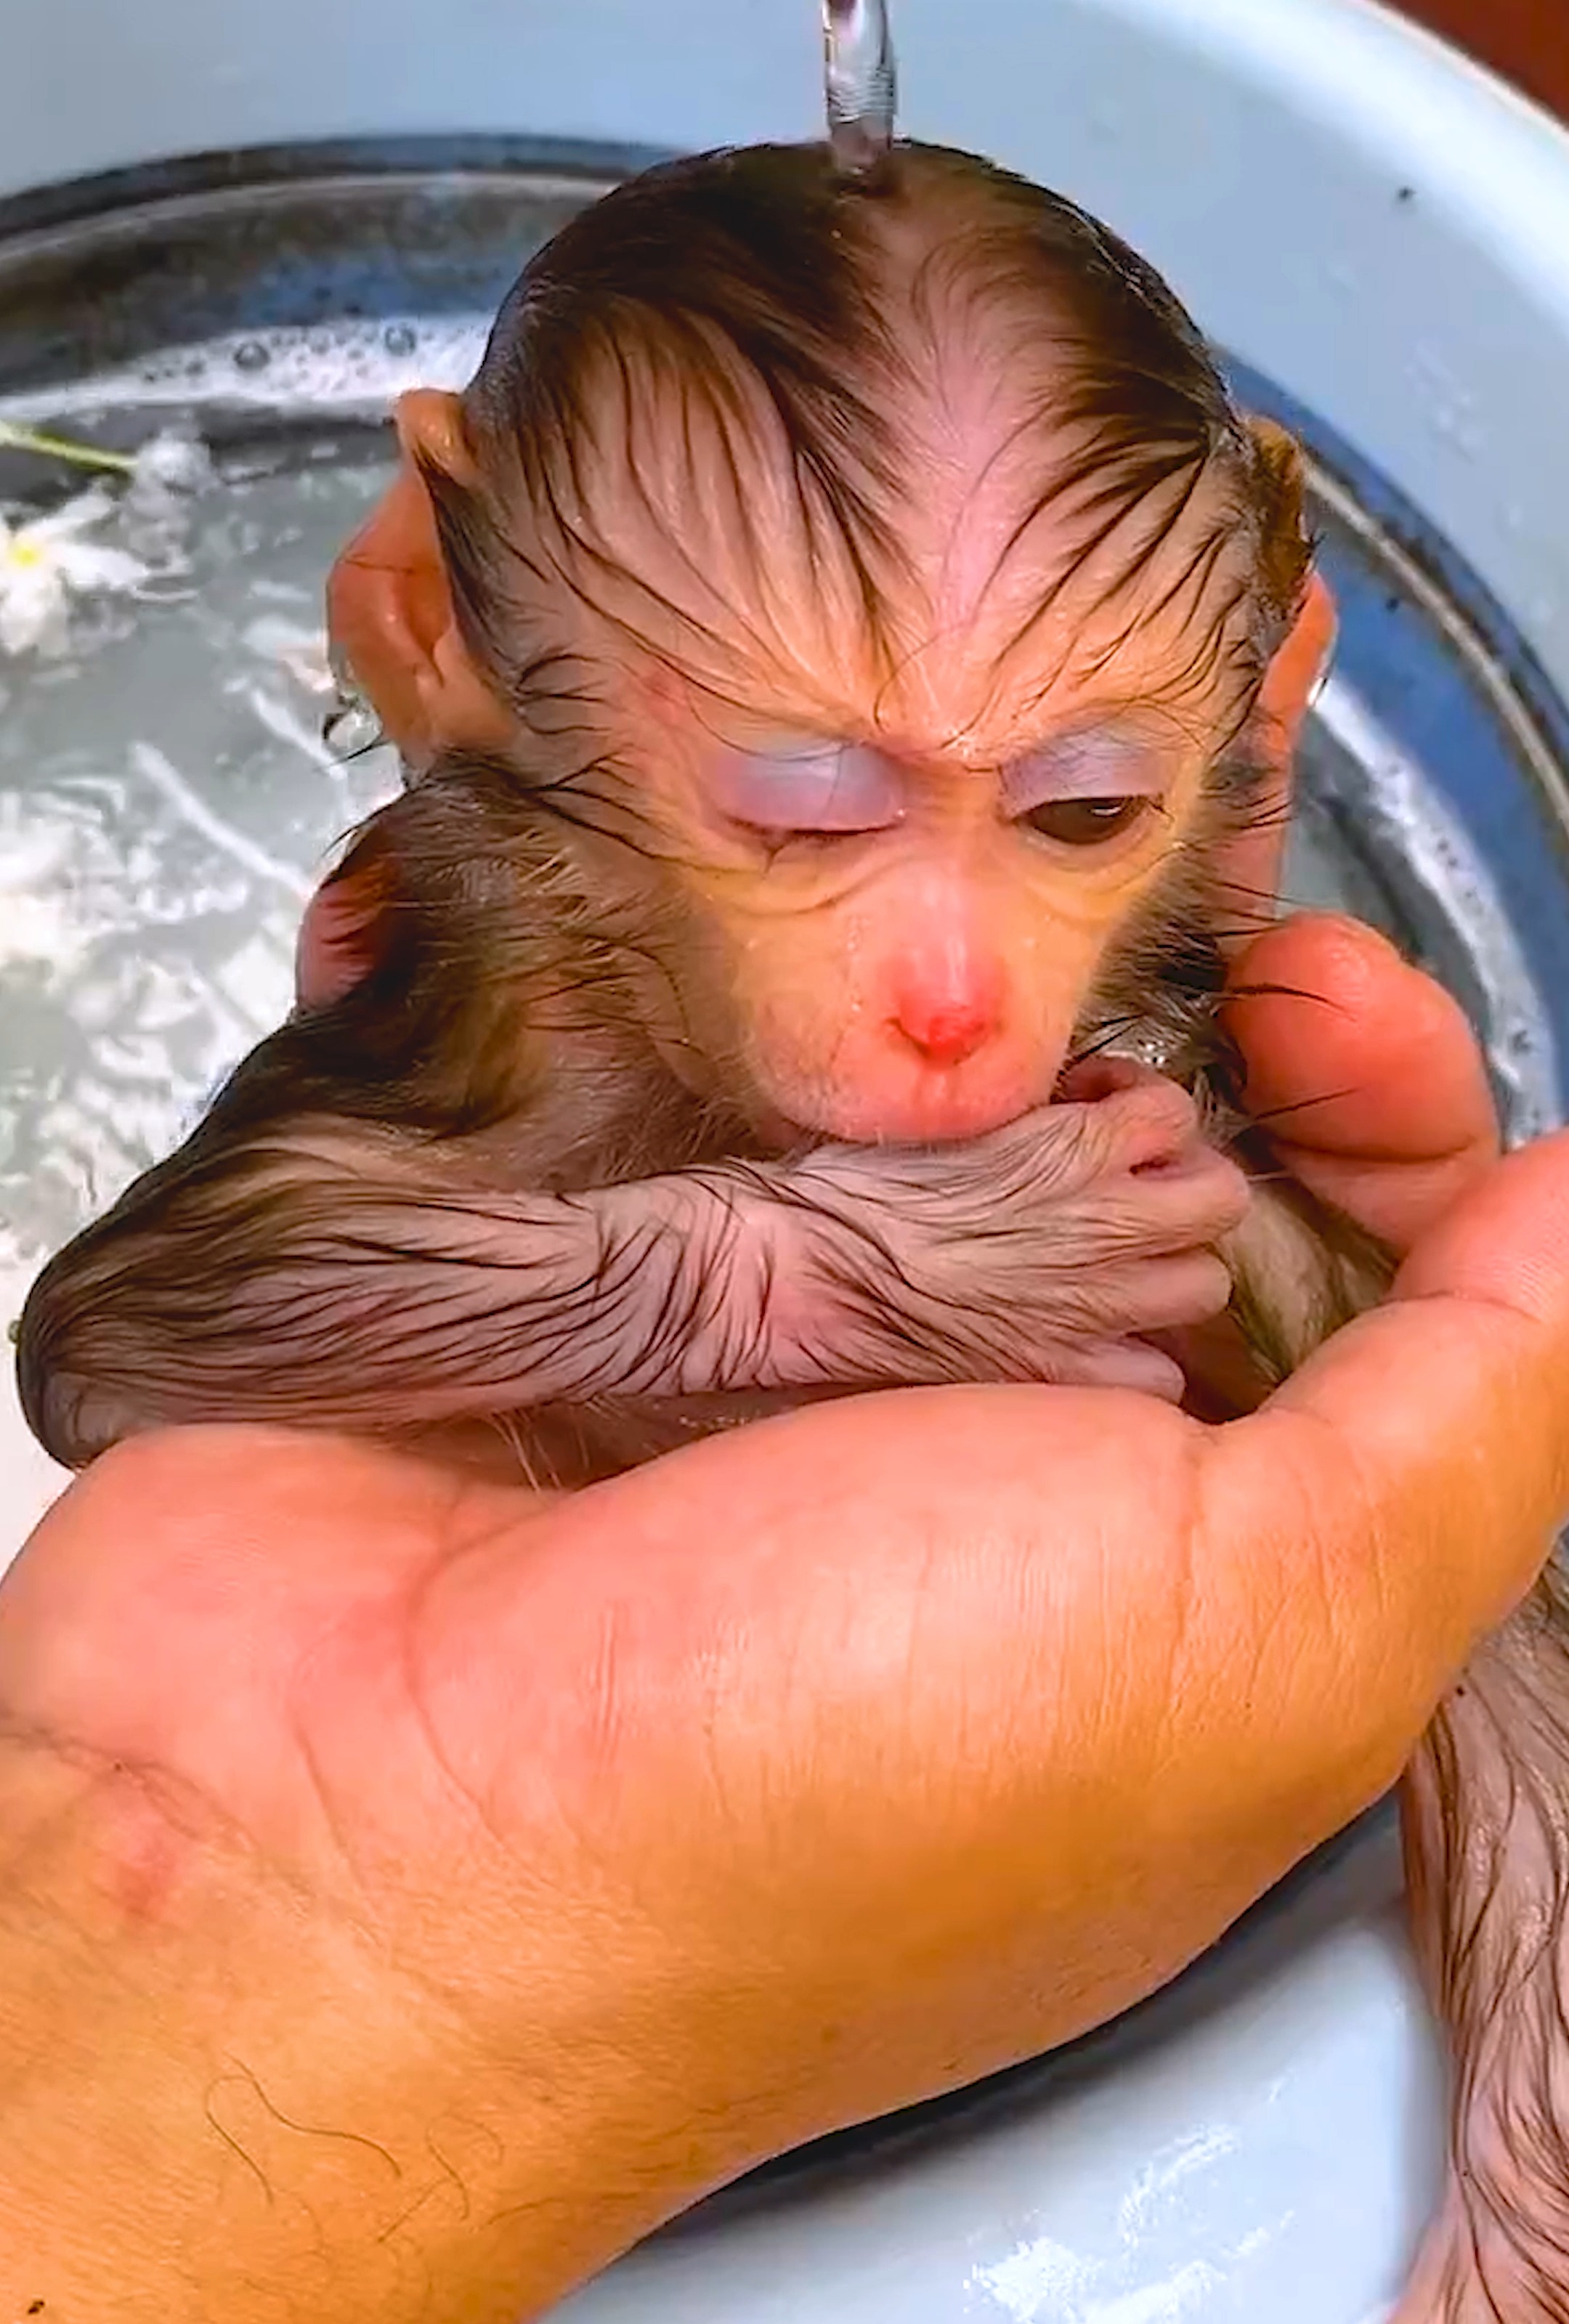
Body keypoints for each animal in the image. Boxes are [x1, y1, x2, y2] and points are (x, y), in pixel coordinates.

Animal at [9, 140, 1561, 2319]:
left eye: (1083, 817)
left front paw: (1514, 2232)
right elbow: (141, 1314)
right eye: (803, 822)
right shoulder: (506, 984)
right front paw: (956, 1261)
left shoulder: (1202, 1120)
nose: (948, 1003)